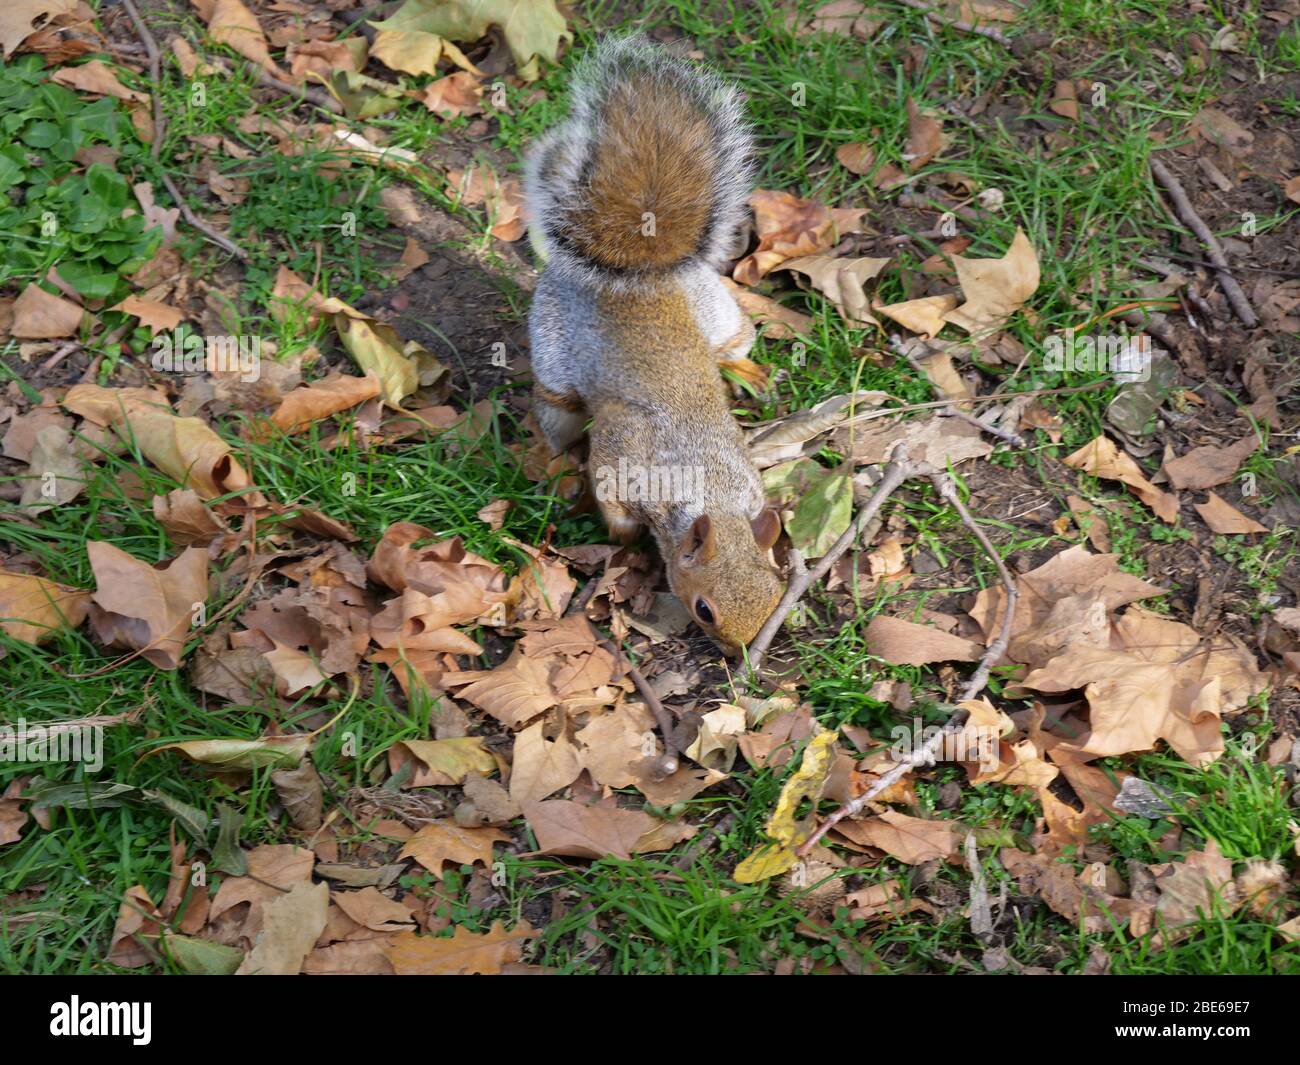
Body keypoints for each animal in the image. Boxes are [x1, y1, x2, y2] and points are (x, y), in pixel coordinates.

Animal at [523, 34, 784, 657]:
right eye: (704, 610)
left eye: (775, 593)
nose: (738, 657)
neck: (711, 490)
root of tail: (641, 276)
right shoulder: (621, 454)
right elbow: (614, 504)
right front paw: (622, 540)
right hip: (554, 362)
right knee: (554, 413)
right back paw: (554, 461)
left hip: (720, 311)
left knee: (728, 347)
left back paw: (750, 374)